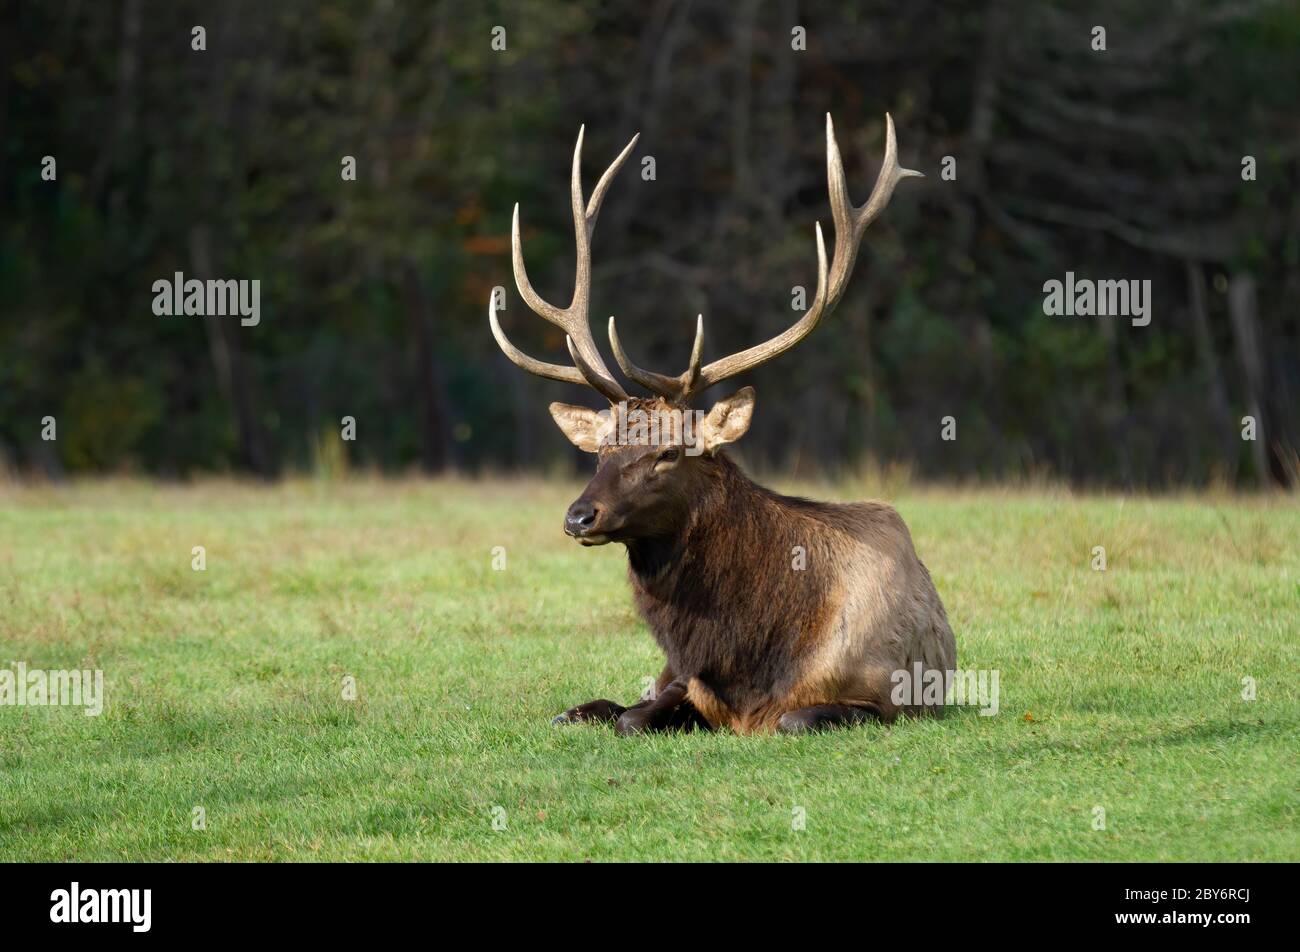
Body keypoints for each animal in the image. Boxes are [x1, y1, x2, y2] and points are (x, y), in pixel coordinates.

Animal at [488, 114, 955, 735]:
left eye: (669, 453)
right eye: (600, 451)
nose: (578, 516)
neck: (751, 662)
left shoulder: (886, 695)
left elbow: (792, 719)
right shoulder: (684, 678)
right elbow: (631, 715)